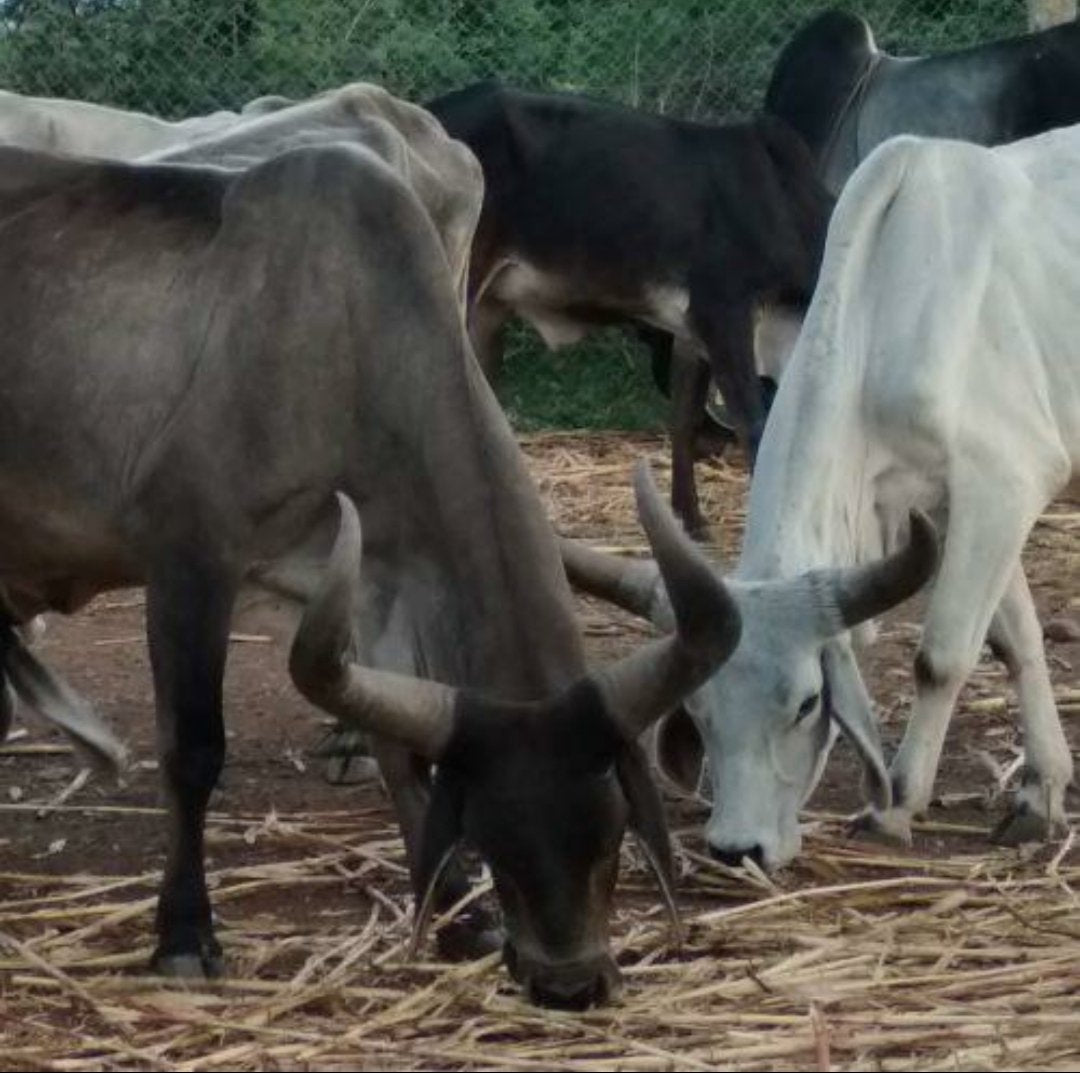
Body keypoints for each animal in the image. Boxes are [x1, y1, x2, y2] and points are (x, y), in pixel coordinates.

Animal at [0, 113, 744, 1007]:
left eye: (613, 826)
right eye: (496, 833)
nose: (570, 982)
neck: (347, 339)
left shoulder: (372, 581)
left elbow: (396, 747)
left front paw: (457, 913)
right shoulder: (192, 555)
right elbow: (193, 750)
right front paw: (183, 934)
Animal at [426, 80, 834, 538]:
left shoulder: (691, 334)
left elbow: (684, 420)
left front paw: (690, 520)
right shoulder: (724, 313)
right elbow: (754, 422)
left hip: (487, 311)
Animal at [561, 125, 1080, 870]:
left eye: (808, 703)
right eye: (701, 711)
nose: (738, 848)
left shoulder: (1004, 479)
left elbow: (941, 656)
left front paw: (896, 803)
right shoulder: (953, 505)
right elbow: (1016, 641)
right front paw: (1042, 793)